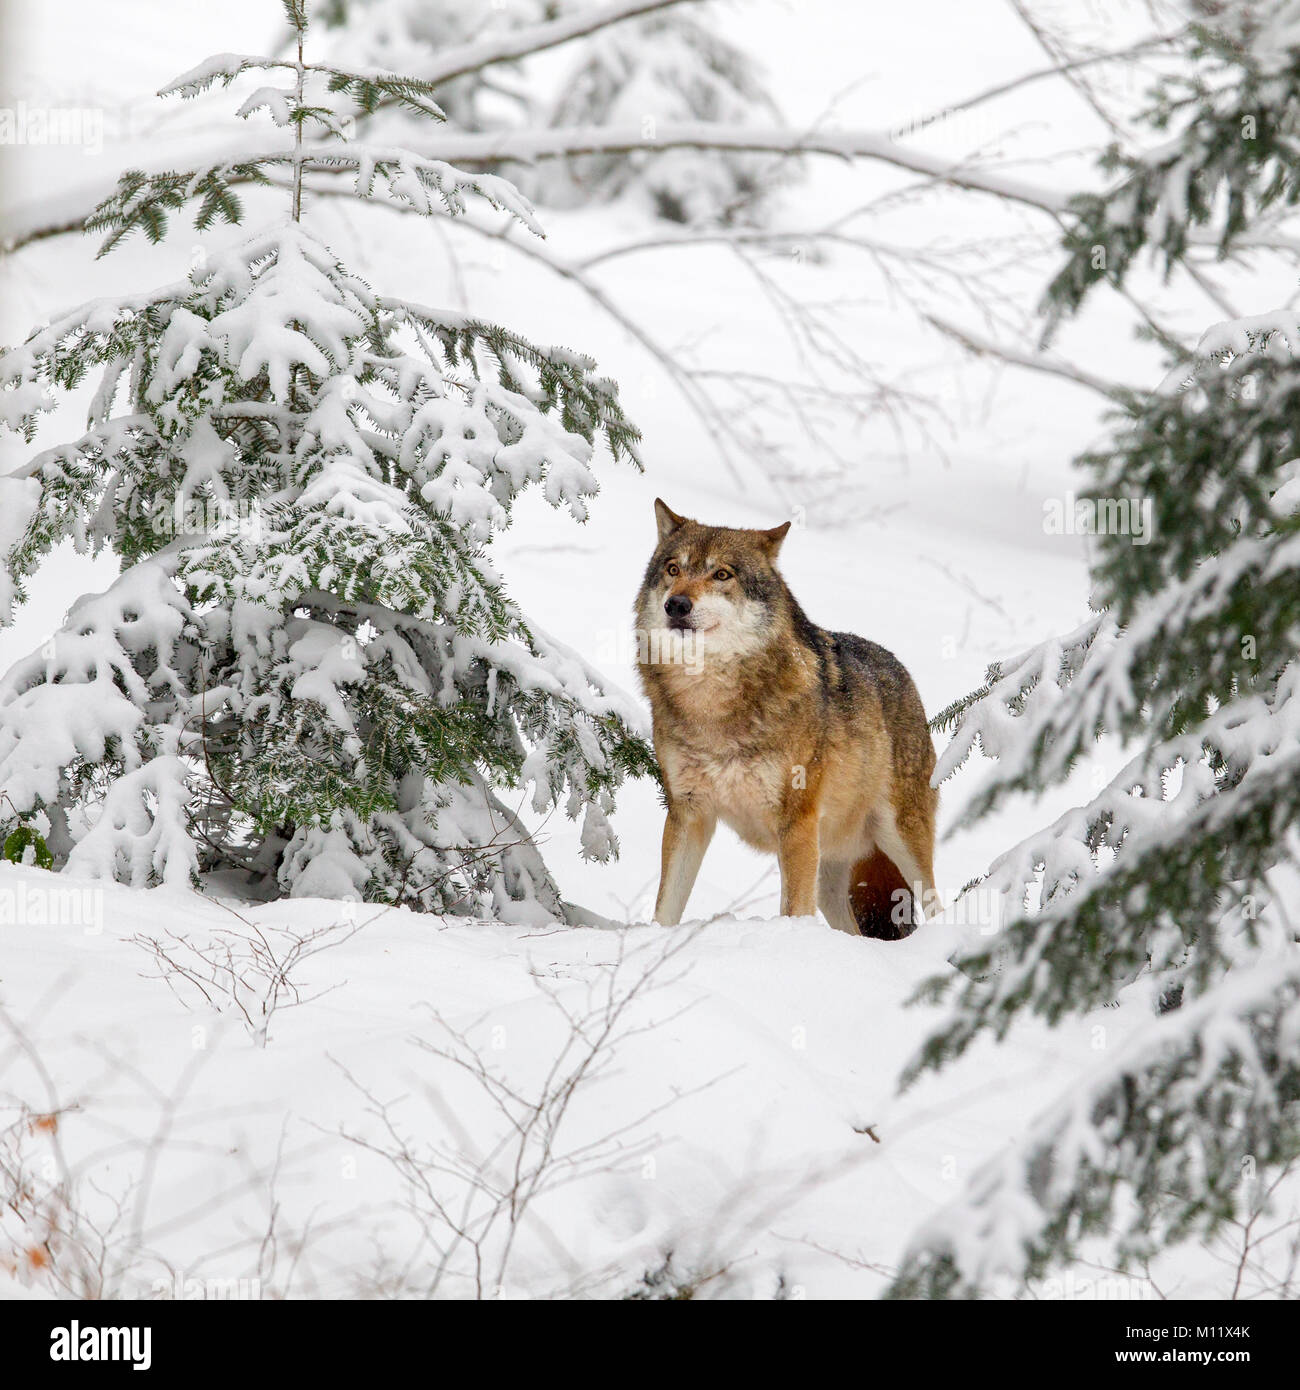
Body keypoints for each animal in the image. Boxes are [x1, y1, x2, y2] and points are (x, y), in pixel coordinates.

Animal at [634, 499, 939, 937]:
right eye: (674, 569)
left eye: (721, 574)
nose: (676, 604)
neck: (711, 703)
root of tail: (903, 674)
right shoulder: (687, 814)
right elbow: (666, 908)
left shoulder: (796, 823)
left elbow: (793, 910)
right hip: (830, 875)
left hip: (899, 838)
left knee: (938, 904)